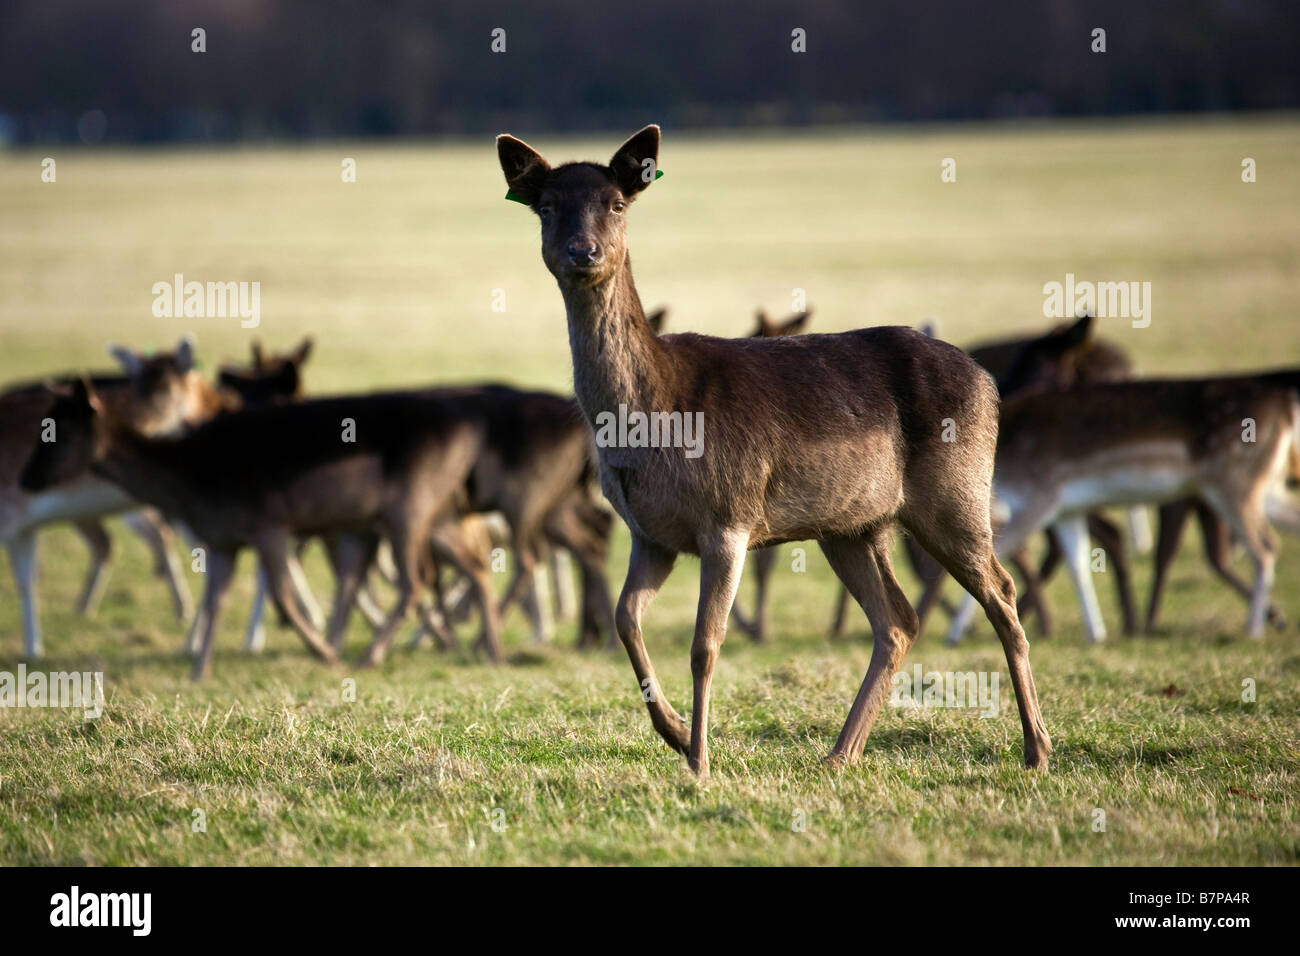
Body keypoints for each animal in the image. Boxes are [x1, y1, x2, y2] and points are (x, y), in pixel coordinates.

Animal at [497, 125, 1051, 774]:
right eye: (546, 206)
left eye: (615, 203)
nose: (581, 252)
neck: (654, 416)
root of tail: (989, 383)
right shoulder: (651, 533)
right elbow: (625, 619)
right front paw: (675, 732)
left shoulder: (728, 514)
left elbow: (705, 645)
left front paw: (699, 761)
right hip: (852, 525)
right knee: (898, 621)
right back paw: (840, 754)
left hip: (955, 494)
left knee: (1001, 594)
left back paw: (1037, 748)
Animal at [946, 370, 1300, 644]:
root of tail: (1285, 405)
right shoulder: (1066, 509)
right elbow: (1078, 566)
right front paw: (1096, 635)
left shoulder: (1040, 495)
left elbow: (999, 552)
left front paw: (955, 633)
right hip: (1265, 486)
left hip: (1233, 482)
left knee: (1265, 548)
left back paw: (1252, 630)